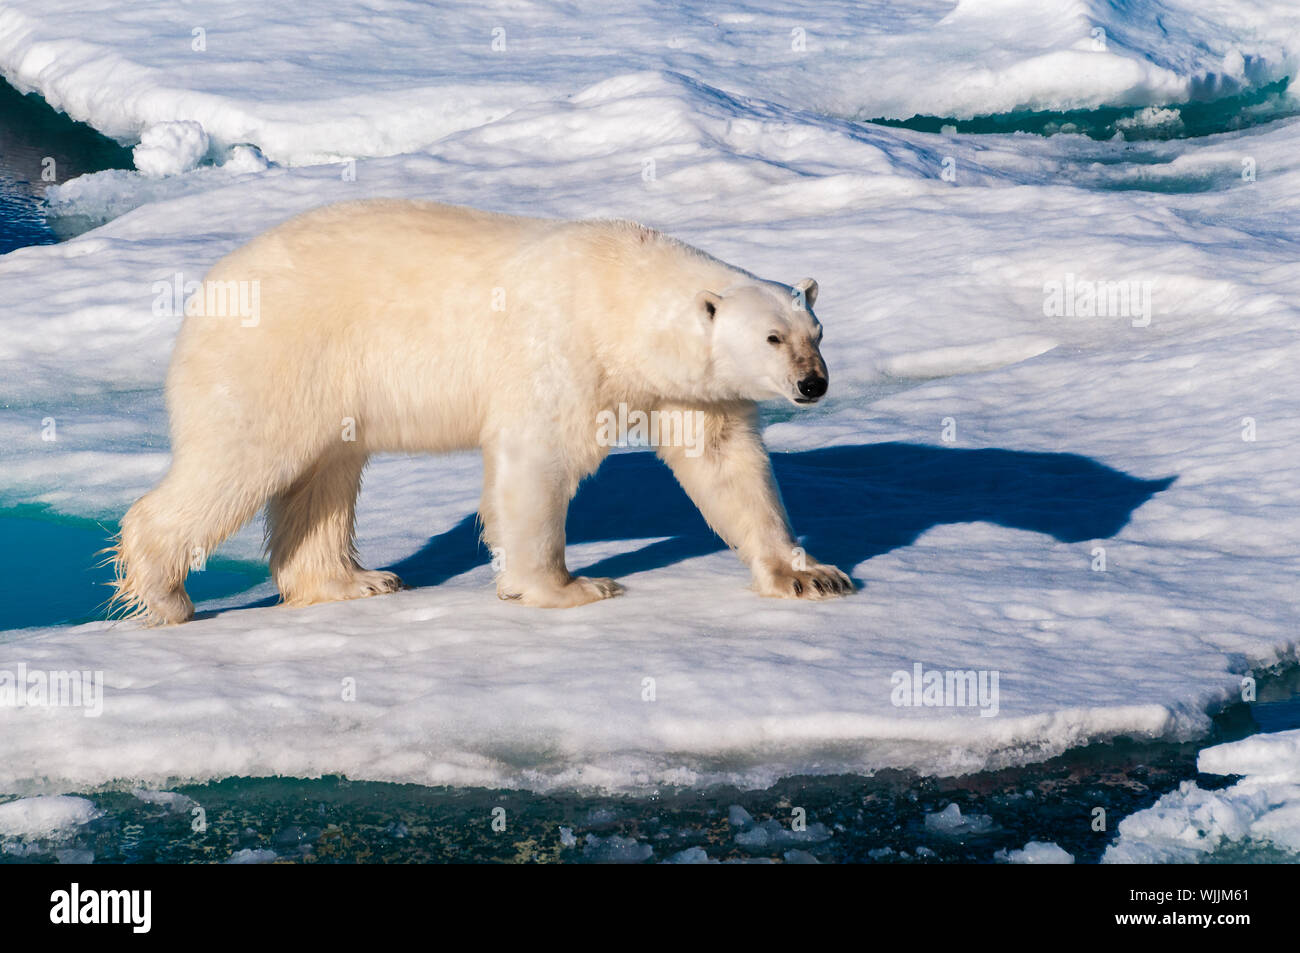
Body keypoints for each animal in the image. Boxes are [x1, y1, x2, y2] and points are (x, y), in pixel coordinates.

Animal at [109, 199, 854, 624]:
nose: (812, 384)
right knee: (244, 457)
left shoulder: (689, 389)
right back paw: (167, 595)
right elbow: (537, 461)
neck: (621, 295)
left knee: (324, 478)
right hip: (277, 356)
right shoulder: (563, 351)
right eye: (772, 338)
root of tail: (207, 291)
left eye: (816, 332)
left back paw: (355, 581)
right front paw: (572, 587)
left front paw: (810, 575)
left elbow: (727, 466)